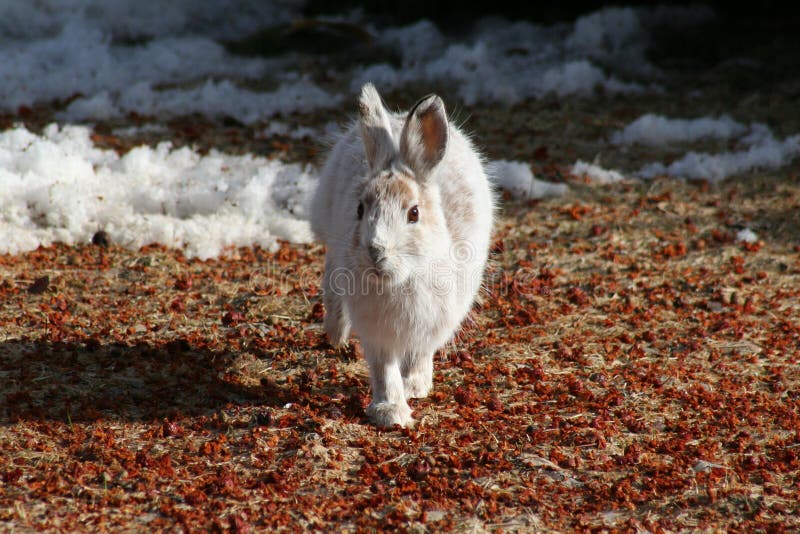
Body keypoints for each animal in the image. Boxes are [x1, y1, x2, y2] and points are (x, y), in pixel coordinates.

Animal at [311, 83, 494, 428]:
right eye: (360, 209)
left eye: (414, 213)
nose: (375, 251)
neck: (403, 279)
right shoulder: (377, 334)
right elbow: (384, 370)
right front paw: (391, 412)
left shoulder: (435, 323)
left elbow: (421, 353)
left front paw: (415, 386)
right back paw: (336, 334)